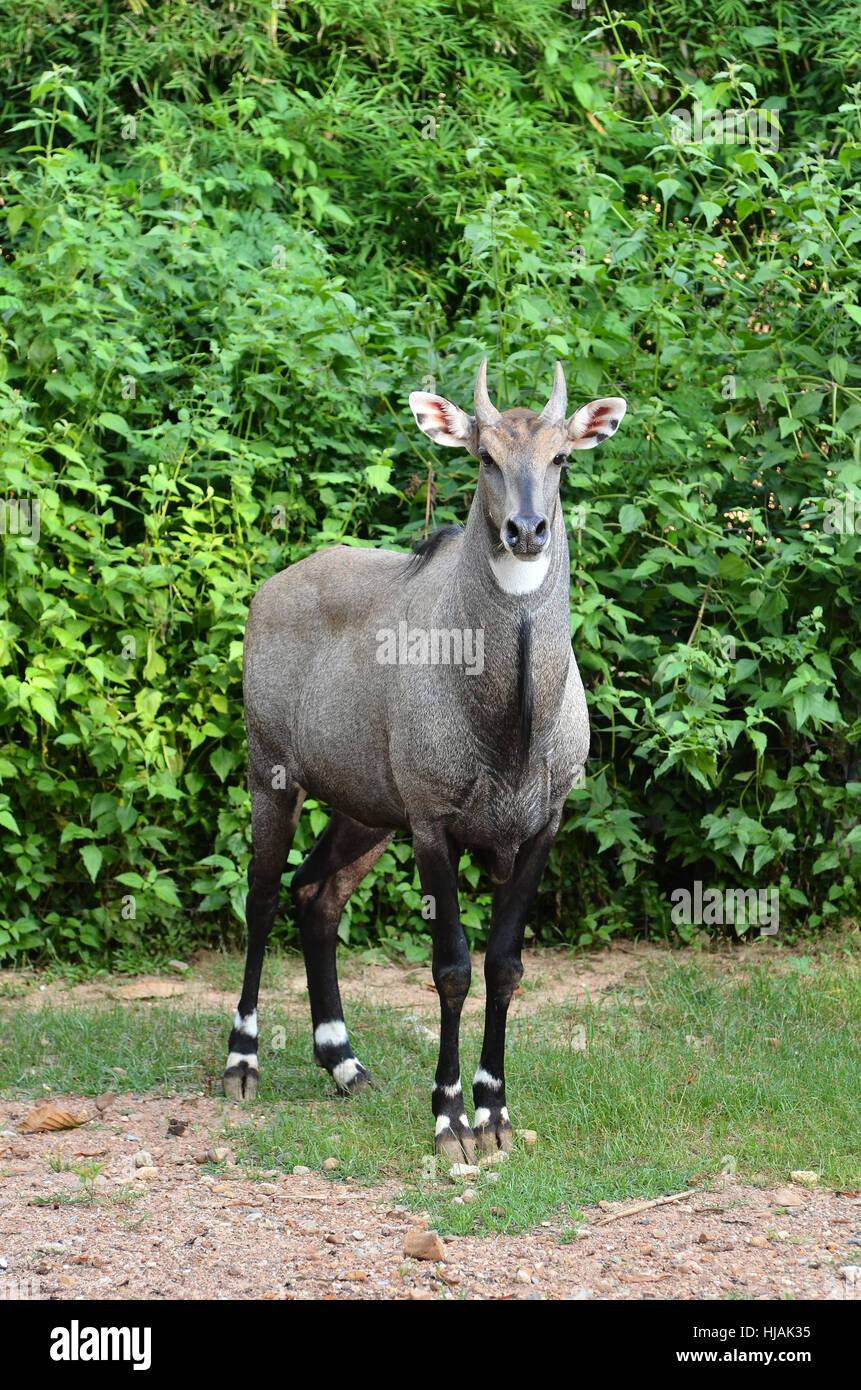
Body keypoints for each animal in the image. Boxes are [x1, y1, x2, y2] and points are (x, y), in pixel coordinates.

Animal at [224, 360, 626, 1160]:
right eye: (484, 456)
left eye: (561, 458)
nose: (525, 531)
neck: (511, 716)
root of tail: (271, 587)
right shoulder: (433, 825)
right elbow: (451, 968)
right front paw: (448, 1119)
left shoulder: (542, 826)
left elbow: (504, 965)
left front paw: (494, 1111)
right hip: (272, 776)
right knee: (262, 896)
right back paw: (242, 1060)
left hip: (365, 813)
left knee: (317, 896)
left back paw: (343, 1062)